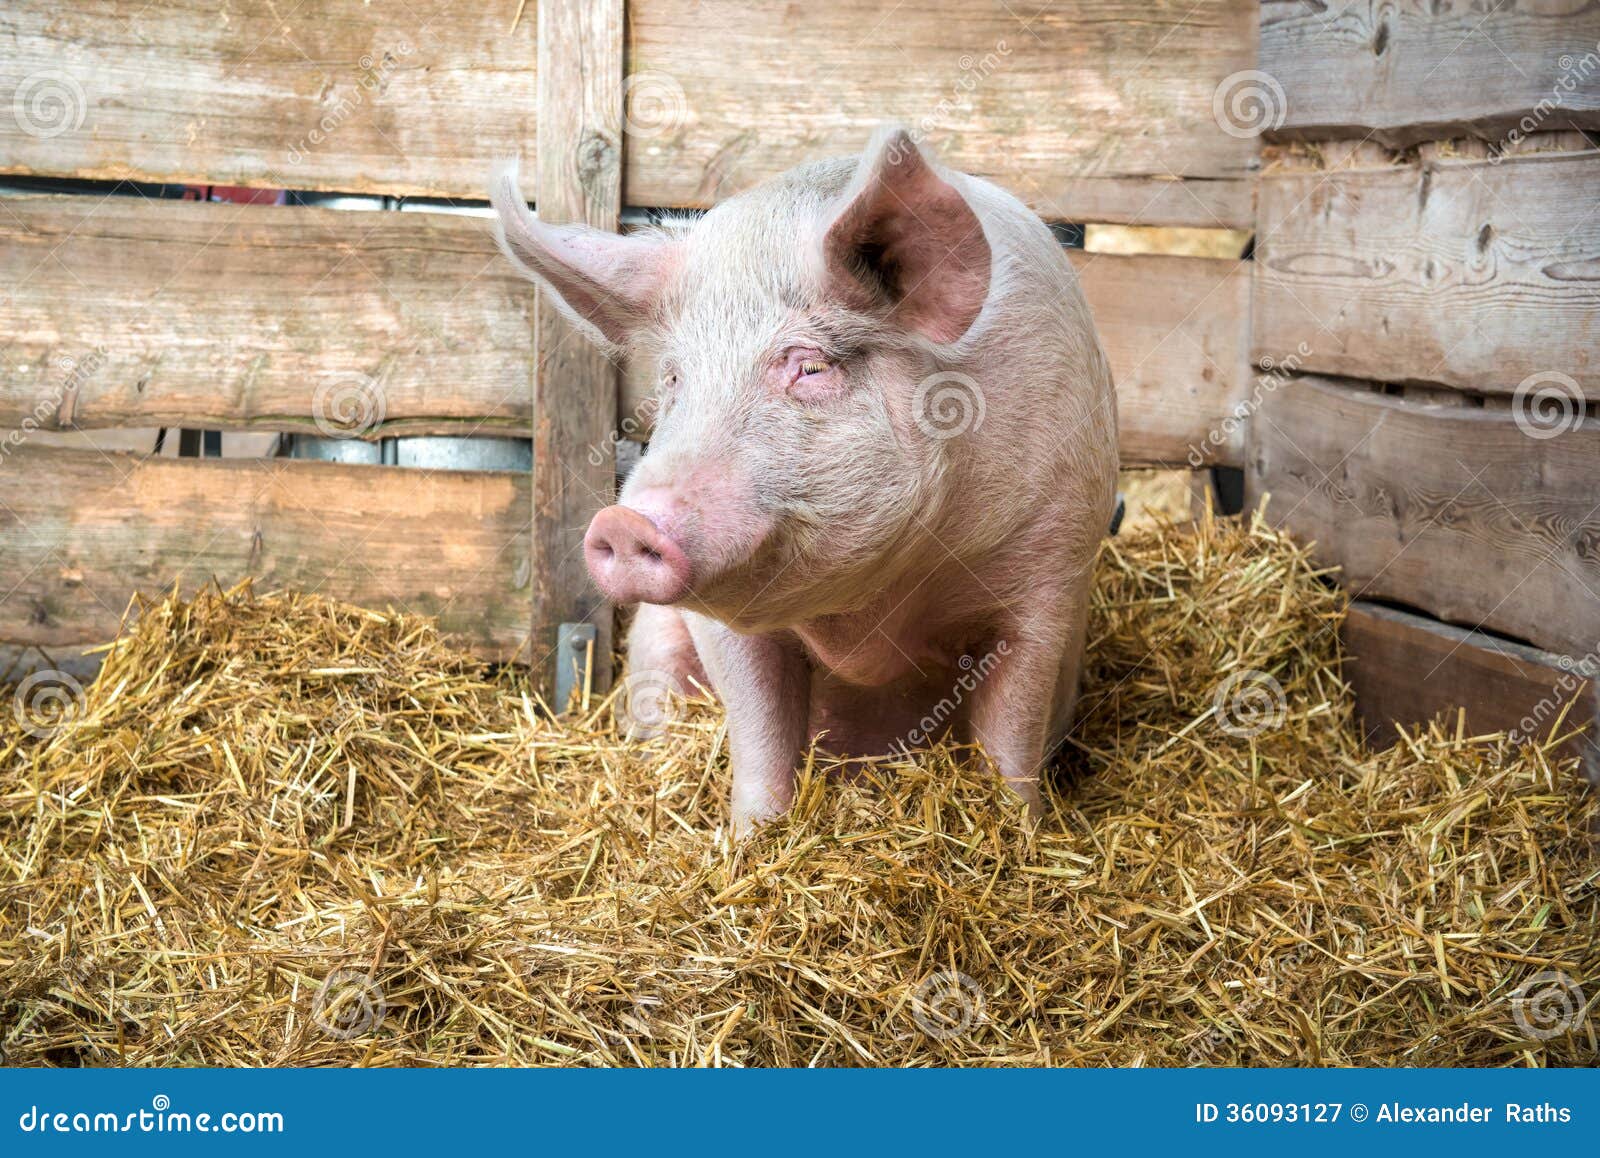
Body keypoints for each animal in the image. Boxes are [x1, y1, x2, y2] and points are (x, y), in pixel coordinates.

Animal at [490, 127, 1117, 836]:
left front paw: (1017, 832)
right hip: (652, 638)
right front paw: (752, 837)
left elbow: (1011, 733)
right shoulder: (720, 623)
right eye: (674, 378)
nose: (623, 522)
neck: (872, 607)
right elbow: (759, 729)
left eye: (810, 367)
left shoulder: (1051, 568)